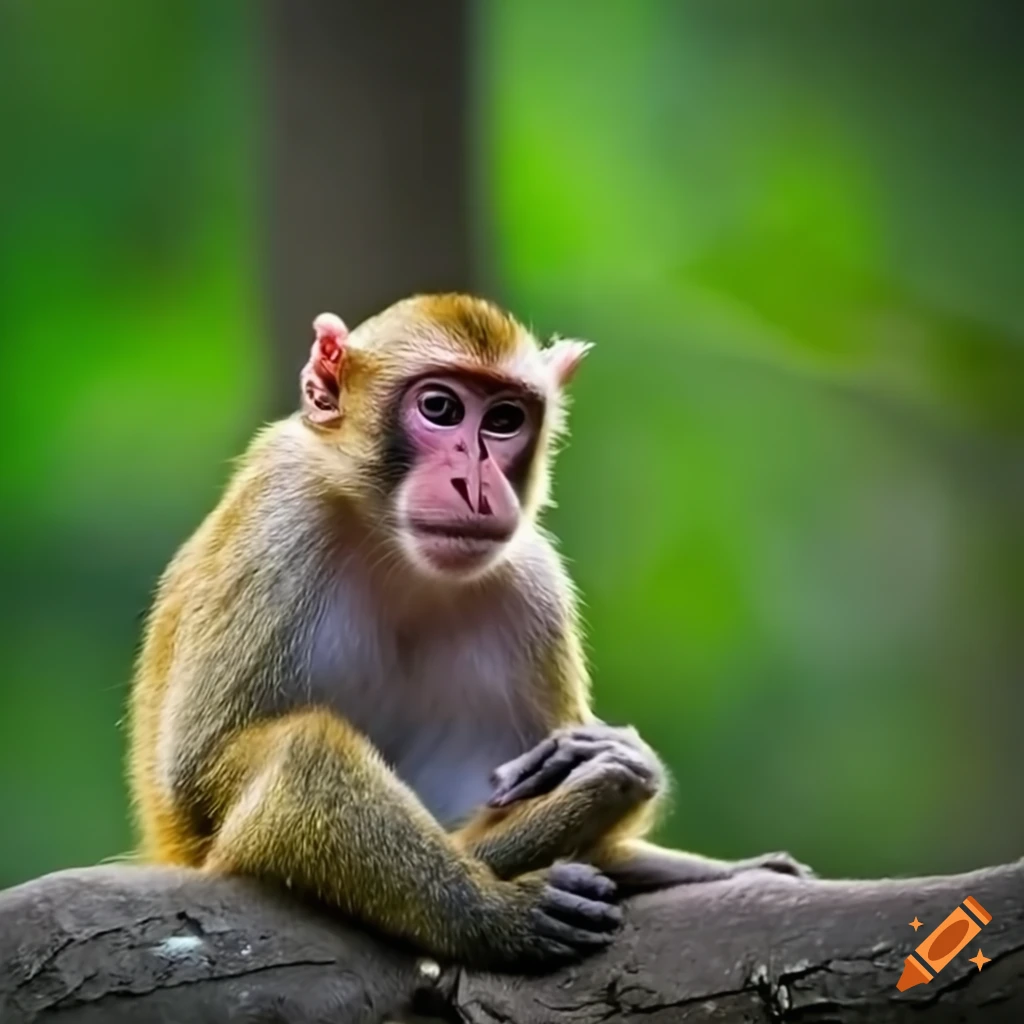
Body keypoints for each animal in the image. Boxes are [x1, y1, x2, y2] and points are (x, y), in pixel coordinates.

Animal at [128, 293, 811, 971]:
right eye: (440, 409)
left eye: (505, 419)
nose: (476, 483)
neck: (398, 559)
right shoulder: (281, 515)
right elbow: (206, 775)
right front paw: (493, 909)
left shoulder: (533, 587)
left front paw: (605, 777)